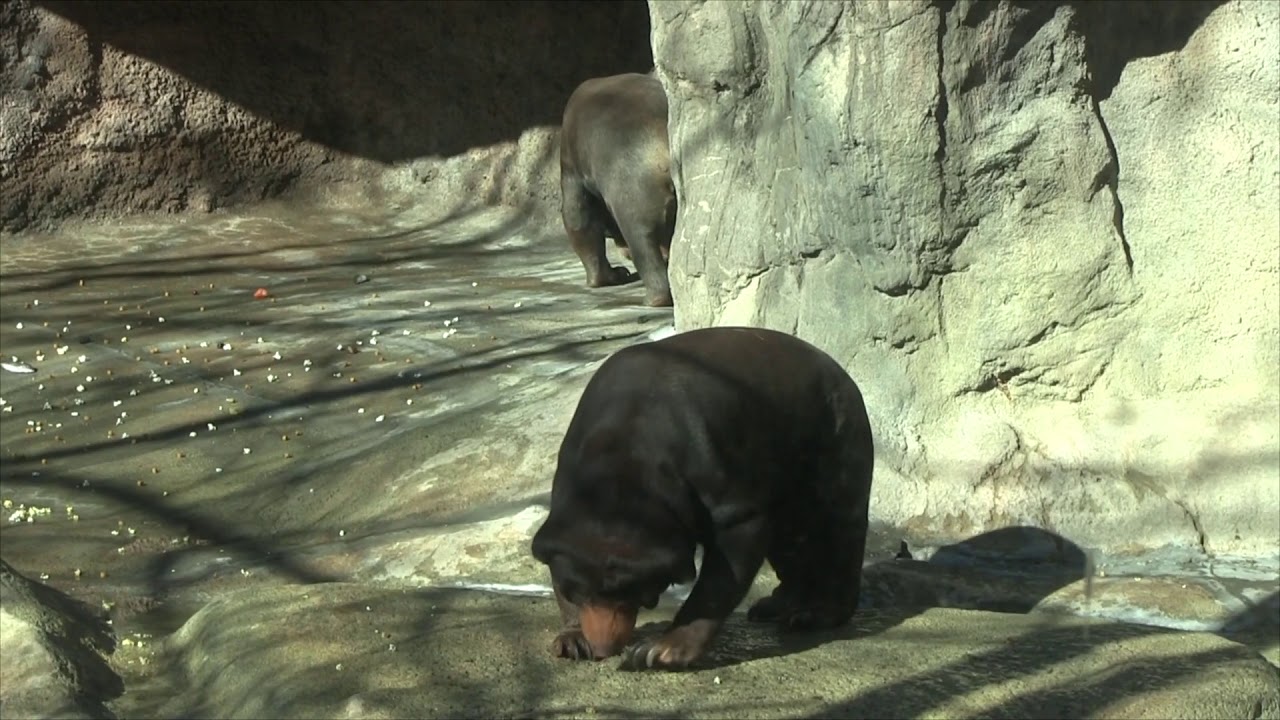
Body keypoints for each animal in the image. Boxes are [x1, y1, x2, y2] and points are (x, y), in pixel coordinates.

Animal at [530, 326, 875, 671]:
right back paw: (776, 604)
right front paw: (573, 641)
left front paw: (660, 651)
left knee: (837, 530)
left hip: (836, 442)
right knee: (792, 541)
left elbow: (731, 551)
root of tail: (843, 374)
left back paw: (814, 614)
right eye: (577, 592)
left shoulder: (718, 472)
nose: (604, 648)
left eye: (636, 594)